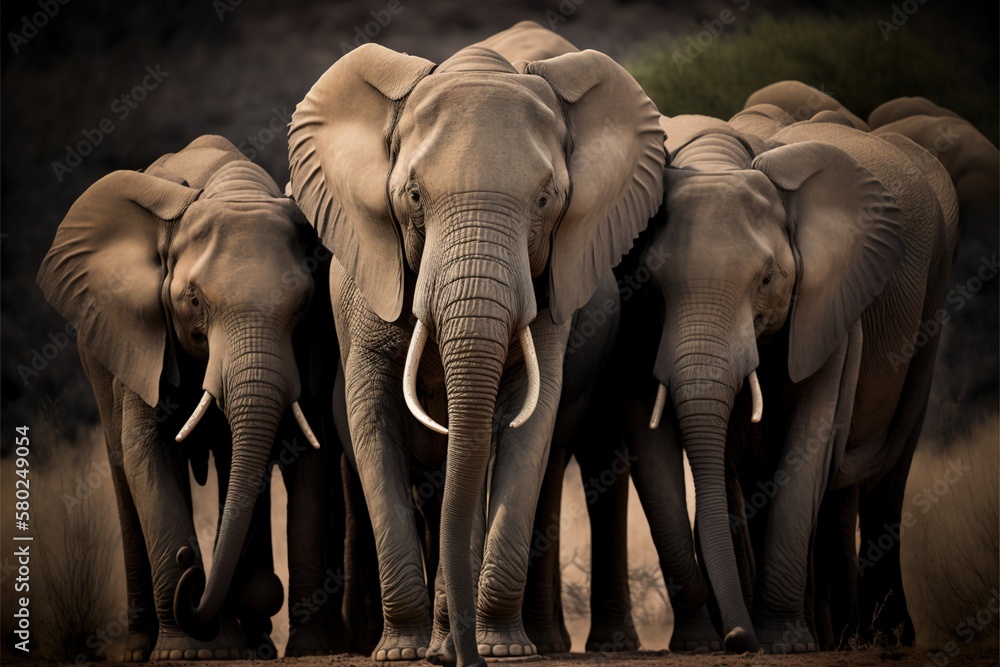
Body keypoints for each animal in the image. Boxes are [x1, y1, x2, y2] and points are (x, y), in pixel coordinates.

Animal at [36, 135, 344, 659]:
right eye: (194, 301)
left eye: (302, 304)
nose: (188, 565)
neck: (233, 189)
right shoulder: (141, 334)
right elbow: (148, 452)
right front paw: (190, 652)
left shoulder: (312, 344)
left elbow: (305, 448)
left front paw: (309, 651)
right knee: (122, 467)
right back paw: (144, 648)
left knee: (228, 459)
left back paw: (256, 644)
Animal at [287, 30, 664, 667]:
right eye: (413, 196)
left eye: (546, 200)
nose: (458, 657)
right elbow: (372, 418)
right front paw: (402, 652)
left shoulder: (551, 292)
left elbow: (525, 421)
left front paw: (500, 648)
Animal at [621, 111, 958, 653]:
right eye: (650, 283)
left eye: (766, 279)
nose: (737, 638)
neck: (717, 161)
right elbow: (688, 455)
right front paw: (728, 640)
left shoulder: (829, 302)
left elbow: (806, 447)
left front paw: (784, 643)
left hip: (935, 294)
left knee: (886, 479)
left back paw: (883, 639)